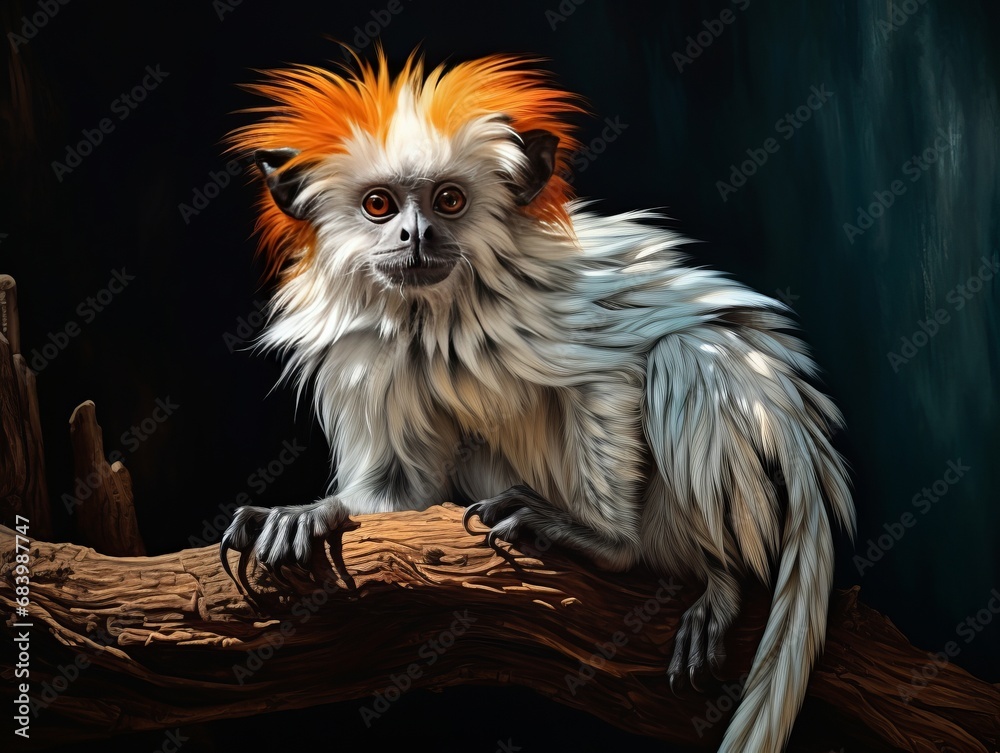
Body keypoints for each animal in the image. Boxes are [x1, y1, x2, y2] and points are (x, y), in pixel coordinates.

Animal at [220, 50, 855, 753]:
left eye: (448, 200)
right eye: (379, 205)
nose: (417, 235)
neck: (434, 316)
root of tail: (803, 438)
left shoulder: (560, 325)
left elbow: (614, 378)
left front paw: (604, 544)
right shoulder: (377, 361)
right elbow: (401, 491)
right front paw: (312, 514)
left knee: (684, 355)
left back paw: (720, 575)